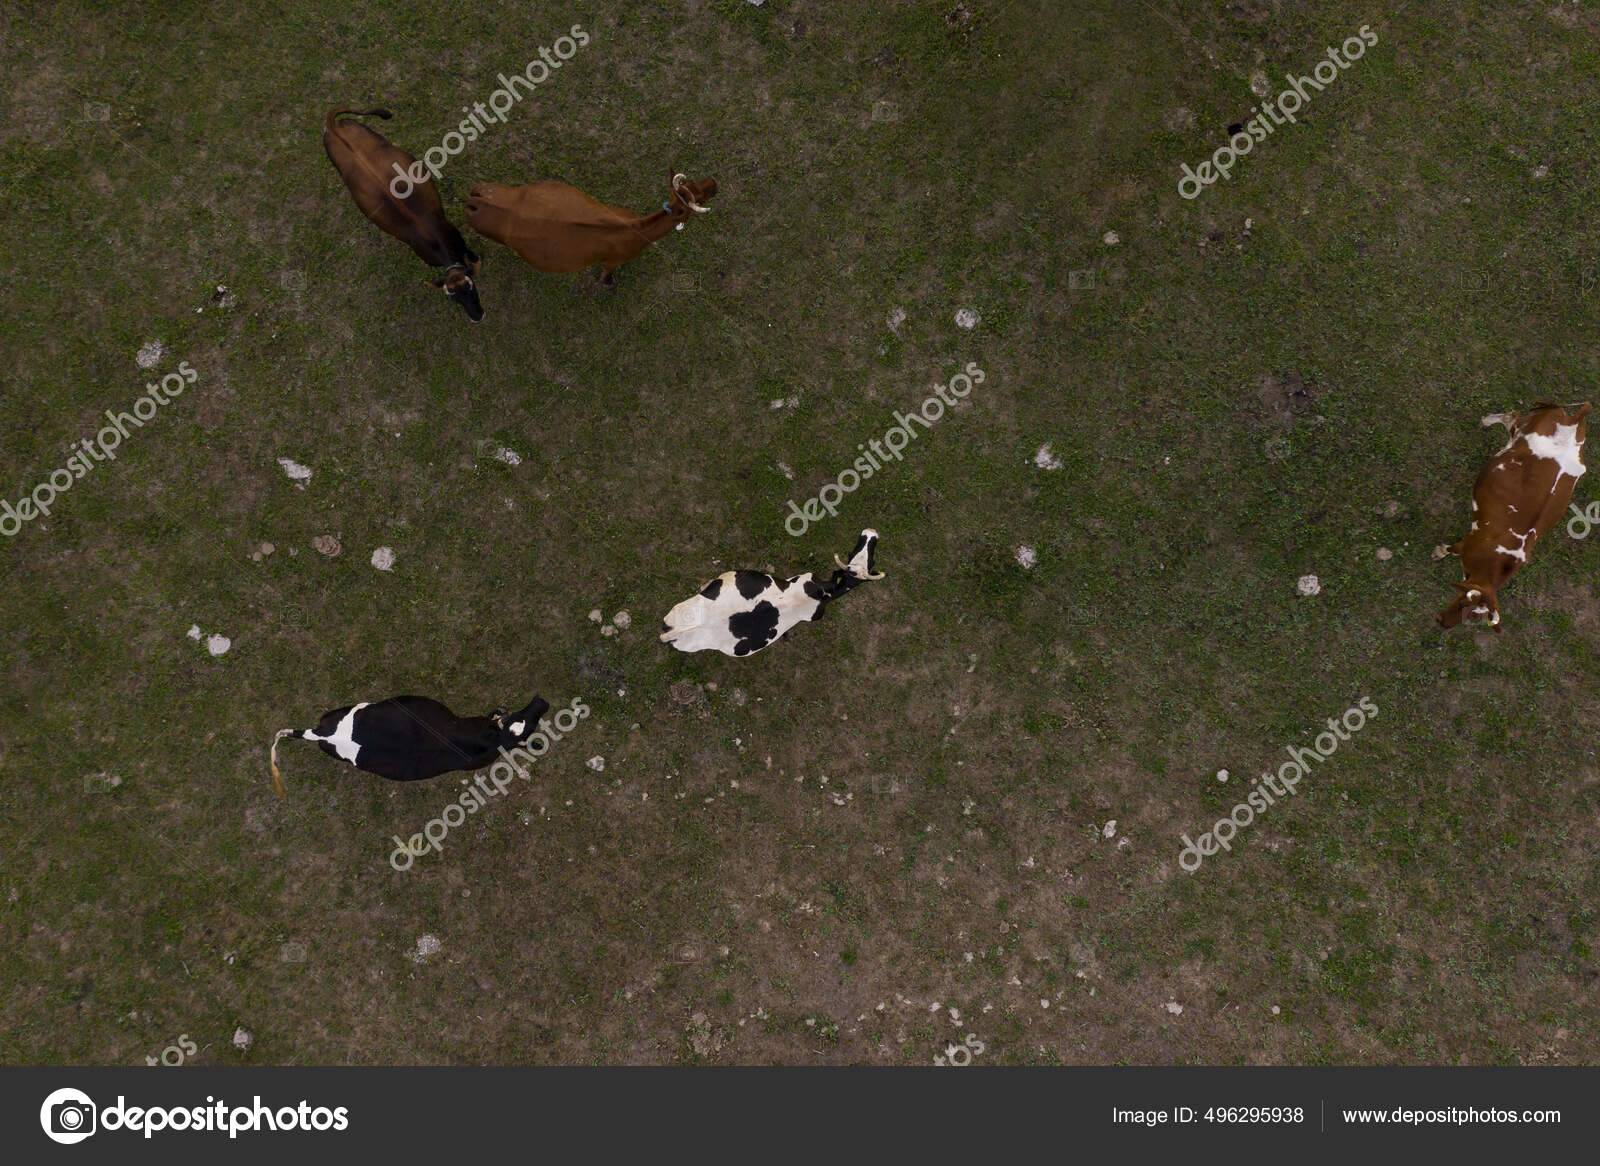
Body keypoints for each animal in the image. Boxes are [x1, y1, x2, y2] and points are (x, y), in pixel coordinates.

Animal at [322, 107, 485, 321]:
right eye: (454, 298)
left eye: (471, 286)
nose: (477, 316)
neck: (438, 244)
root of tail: (334, 128)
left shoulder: (457, 236)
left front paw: (474, 257)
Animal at [465, 171, 716, 288]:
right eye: (699, 200)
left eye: (692, 184)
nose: (714, 183)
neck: (638, 229)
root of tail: (475, 201)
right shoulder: (613, 261)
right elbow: (606, 275)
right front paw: (608, 284)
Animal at [1434, 402, 1591, 629]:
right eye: (1464, 600)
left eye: (1475, 617)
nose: (1442, 623)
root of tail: (1574, 419)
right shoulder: (1467, 543)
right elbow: (1450, 549)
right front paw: (1439, 552)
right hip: (1521, 428)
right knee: (1511, 416)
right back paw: (1486, 421)